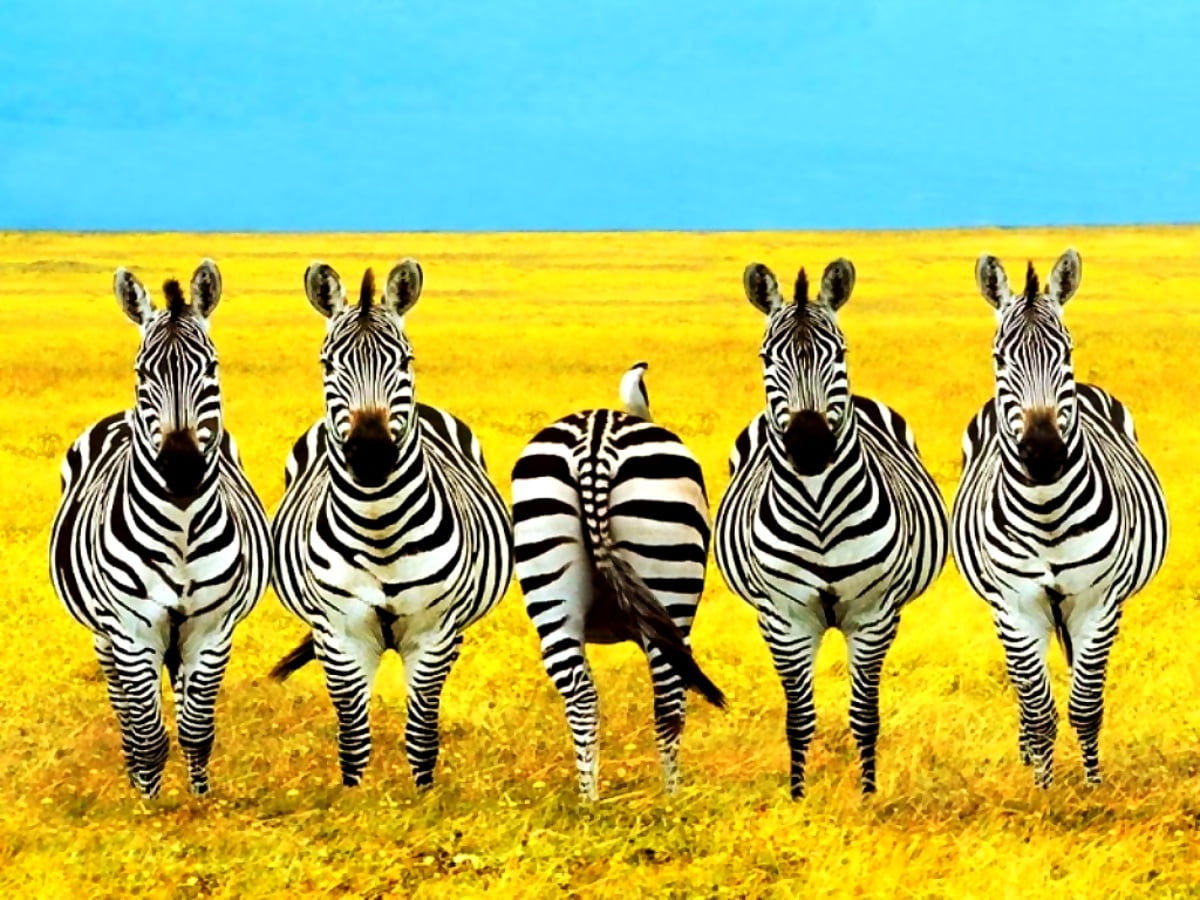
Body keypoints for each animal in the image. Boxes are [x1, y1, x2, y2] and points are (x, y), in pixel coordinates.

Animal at [48, 260, 271, 799]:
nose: (181, 466)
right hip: (106, 635)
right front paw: (147, 803)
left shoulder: (212, 629)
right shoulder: (132, 628)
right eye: (142, 373)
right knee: (125, 710)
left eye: (211, 368)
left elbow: (196, 727)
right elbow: (148, 732)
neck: (182, 528)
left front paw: (199, 800)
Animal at [269, 259, 514, 789]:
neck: (380, 530)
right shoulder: (341, 634)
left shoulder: (434, 633)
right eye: (327, 365)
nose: (371, 453)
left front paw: (423, 797)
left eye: (405, 359)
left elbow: (421, 731)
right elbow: (353, 735)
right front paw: (355, 798)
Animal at [511, 361, 725, 799]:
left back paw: (589, 801)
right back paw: (670, 800)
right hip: (670, 583)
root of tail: (595, 437)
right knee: (669, 699)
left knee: (580, 696)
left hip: (547, 574)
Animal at [714, 259, 949, 798]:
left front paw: (867, 794)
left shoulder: (874, 615)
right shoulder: (784, 618)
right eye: (766, 357)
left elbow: (864, 714)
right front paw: (798, 796)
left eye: (839, 353)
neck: (820, 510)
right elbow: (799, 718)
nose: (810, 445)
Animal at [952, 249, 1168, 788]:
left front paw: (1092, 787)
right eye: (1000, 358)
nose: (1044, 452)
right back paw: (1027, 755)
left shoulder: (1100, 603)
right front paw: (1043, 789)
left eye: (1065, 352)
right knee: (1023, 689)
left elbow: (1085, 706)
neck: (1046, 510)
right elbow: (1038, 708)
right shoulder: (1016, 605)